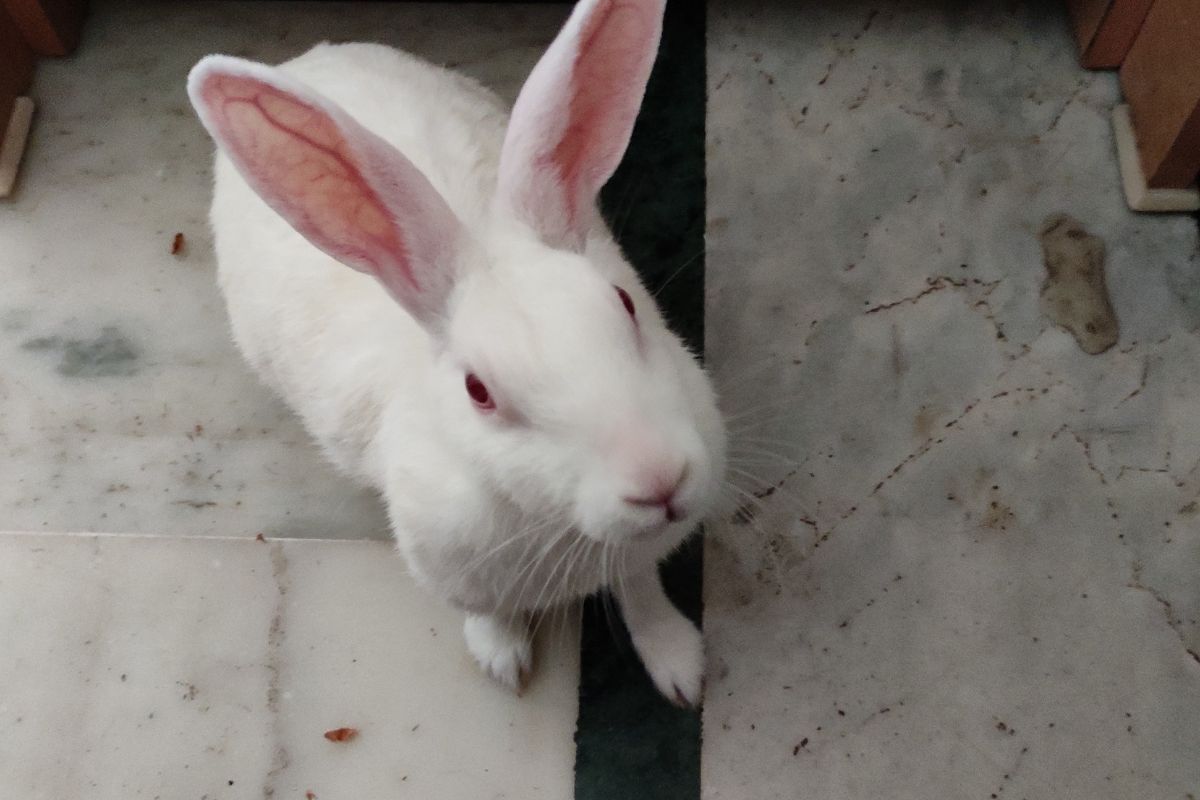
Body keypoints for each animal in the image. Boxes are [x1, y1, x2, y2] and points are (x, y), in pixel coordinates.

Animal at [186, 0, 726, 707]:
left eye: (625, 305)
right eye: (479, 391)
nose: (658, 480)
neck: (557, 524)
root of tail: (307, 58)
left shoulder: (644, 554)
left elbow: (643, 595)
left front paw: (681, 672)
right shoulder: (452, 565)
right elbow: (488, 614)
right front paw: (503, 661)